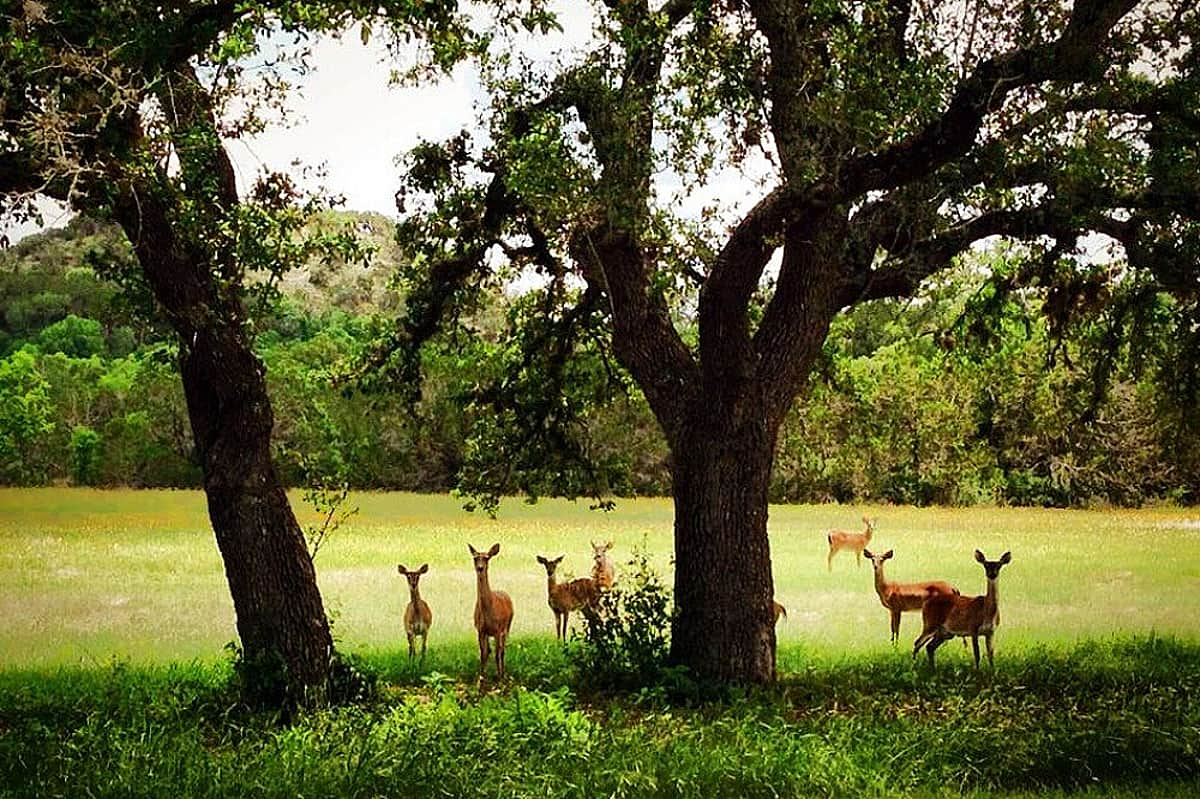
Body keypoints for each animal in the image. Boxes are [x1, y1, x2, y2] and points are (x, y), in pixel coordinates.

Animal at [465, 542, 513, 676]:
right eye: (475, 558)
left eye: (487, 558)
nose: (480, 568)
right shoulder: (480, 630)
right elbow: (483, 654)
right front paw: (481, 676)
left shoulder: (497, 629)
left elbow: (497, 654)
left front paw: (499, 677)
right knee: (490, 650)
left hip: (507, 627)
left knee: (502, 651)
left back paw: (503, 672)